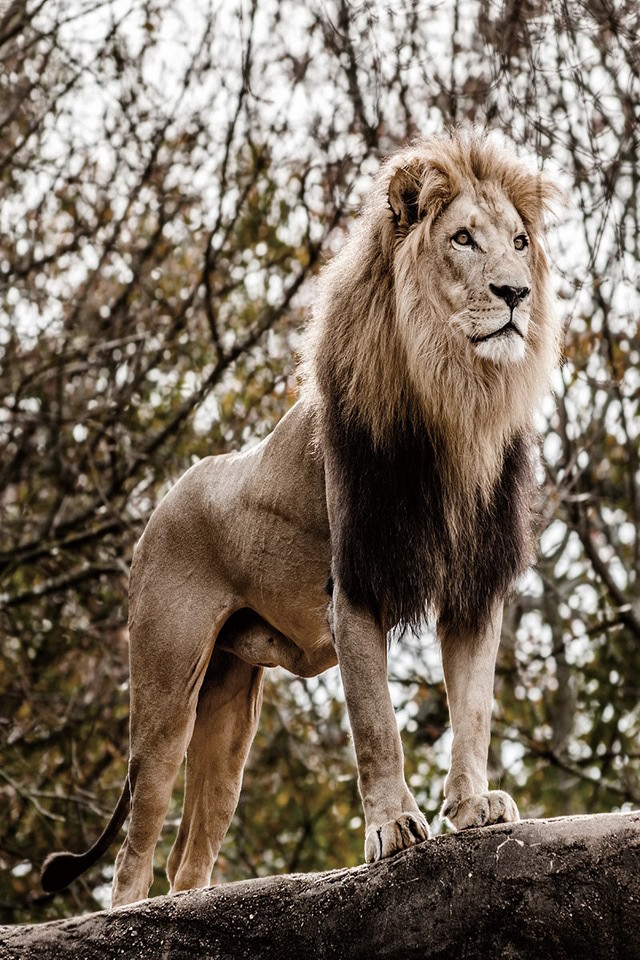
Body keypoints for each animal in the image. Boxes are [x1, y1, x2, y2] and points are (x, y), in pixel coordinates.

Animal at [42, 130, 562, 908]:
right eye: (464, 239)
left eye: (521, 242)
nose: (515, 294)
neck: (457, 401)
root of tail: (165, 498)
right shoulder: (356, 584)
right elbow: (376, 721)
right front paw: (392, 828)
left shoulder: (473, 586)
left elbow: (471, 709)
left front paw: (474, 807)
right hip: (165, 696)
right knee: (136, 850)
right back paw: (127, 914)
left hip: (231, 711)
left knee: (188, 858)